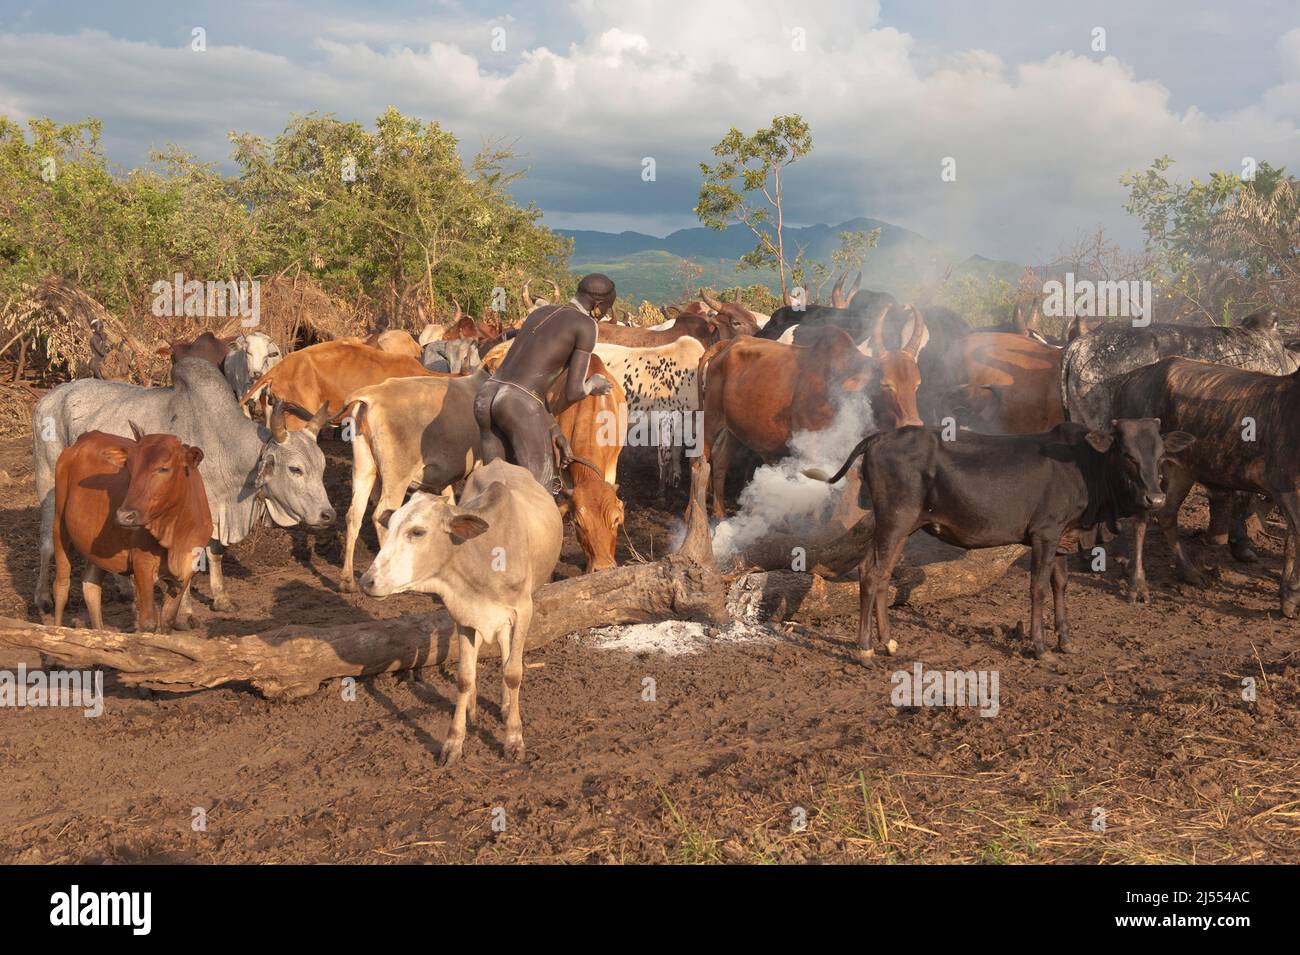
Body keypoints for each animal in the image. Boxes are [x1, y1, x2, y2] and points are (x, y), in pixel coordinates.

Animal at [53, 426, 213, 632]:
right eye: (131, 469)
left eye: (164, 468)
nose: (125, 515)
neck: (175, 530)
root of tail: (84, 438)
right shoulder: (142, 562)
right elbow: (148, 623)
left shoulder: (188, 566)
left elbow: (168, 620)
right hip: (59, 525)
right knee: (61, 586)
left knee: (91, 586)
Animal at [360, 459, 563, 764]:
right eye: (391, 526)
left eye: (417, 532)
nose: (367, 581)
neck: (483, 558)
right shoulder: (462, 614)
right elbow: (465, 676)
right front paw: (454, 742)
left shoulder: (523, 610)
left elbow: (513, 672)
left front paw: (514, 739)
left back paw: (506, 705)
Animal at [698, 307, 928, 518]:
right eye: (885, 384)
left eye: (917, 385)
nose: (912, 423)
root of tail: (728, 344)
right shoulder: (810, 449)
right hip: (710, 419)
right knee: (703, 460)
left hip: (734, 427)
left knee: (721, 459)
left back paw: (719, 513)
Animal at [806, 419, 1183, 659]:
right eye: (1127, 455)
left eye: (1161, 456)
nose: (1155, 499)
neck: (1086, 468)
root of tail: (881, 436)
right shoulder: (1045, 532)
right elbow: (1038, 587)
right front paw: (1040, 648)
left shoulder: (1062, 534)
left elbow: (1060, 585)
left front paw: (1066, 641)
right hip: (895, 520)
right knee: (871, 575)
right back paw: (865, 650)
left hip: (900, 526)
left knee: (879, 574)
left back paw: (888, 643)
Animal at [1111, 357, 1297, 610]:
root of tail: (1127, 380)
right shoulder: (1285, 488)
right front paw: (1291, 595)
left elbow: (1290, 542)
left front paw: (1286, 593)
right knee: (1140, 520)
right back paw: (1138, 585)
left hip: (1182, 471)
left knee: (1167, 513)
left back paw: (1189, 572)